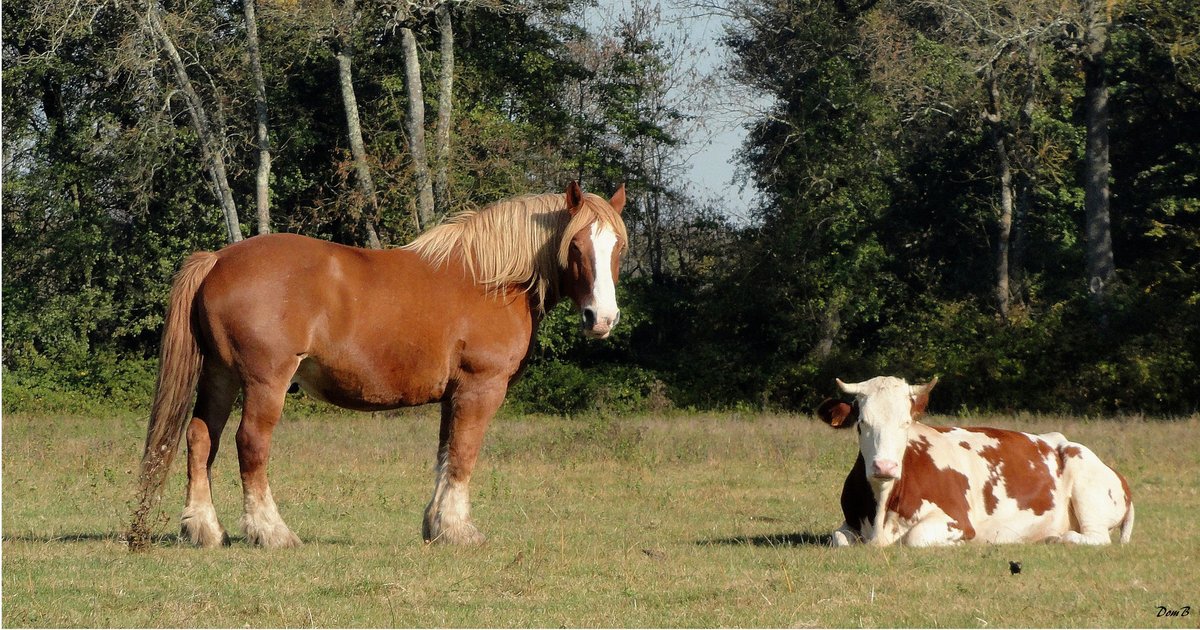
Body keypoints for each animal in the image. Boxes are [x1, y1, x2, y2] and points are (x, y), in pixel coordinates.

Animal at [128, 182, 627, 550]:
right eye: (576, 246)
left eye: (618, 248)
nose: (601, 319)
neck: (492, 278)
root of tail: (217, 260)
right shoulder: (480, 388)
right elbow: (464, 456)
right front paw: (459, 531)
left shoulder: (453, 396)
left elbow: (445, 455)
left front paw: (436, 527)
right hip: (265, 381)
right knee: (249, 444)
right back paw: (272, 532)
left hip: (220, 375)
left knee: (200, 439)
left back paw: (204, 529)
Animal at [816, 376, 1134, 547]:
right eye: (862, 423)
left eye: (906, 422)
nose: (885, 467)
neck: (882, 511)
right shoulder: (850, 522)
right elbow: (837, 537)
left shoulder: (958, 521)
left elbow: (914, 537)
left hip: (1086, 488)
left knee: (1095, 537)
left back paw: (1057, 537)